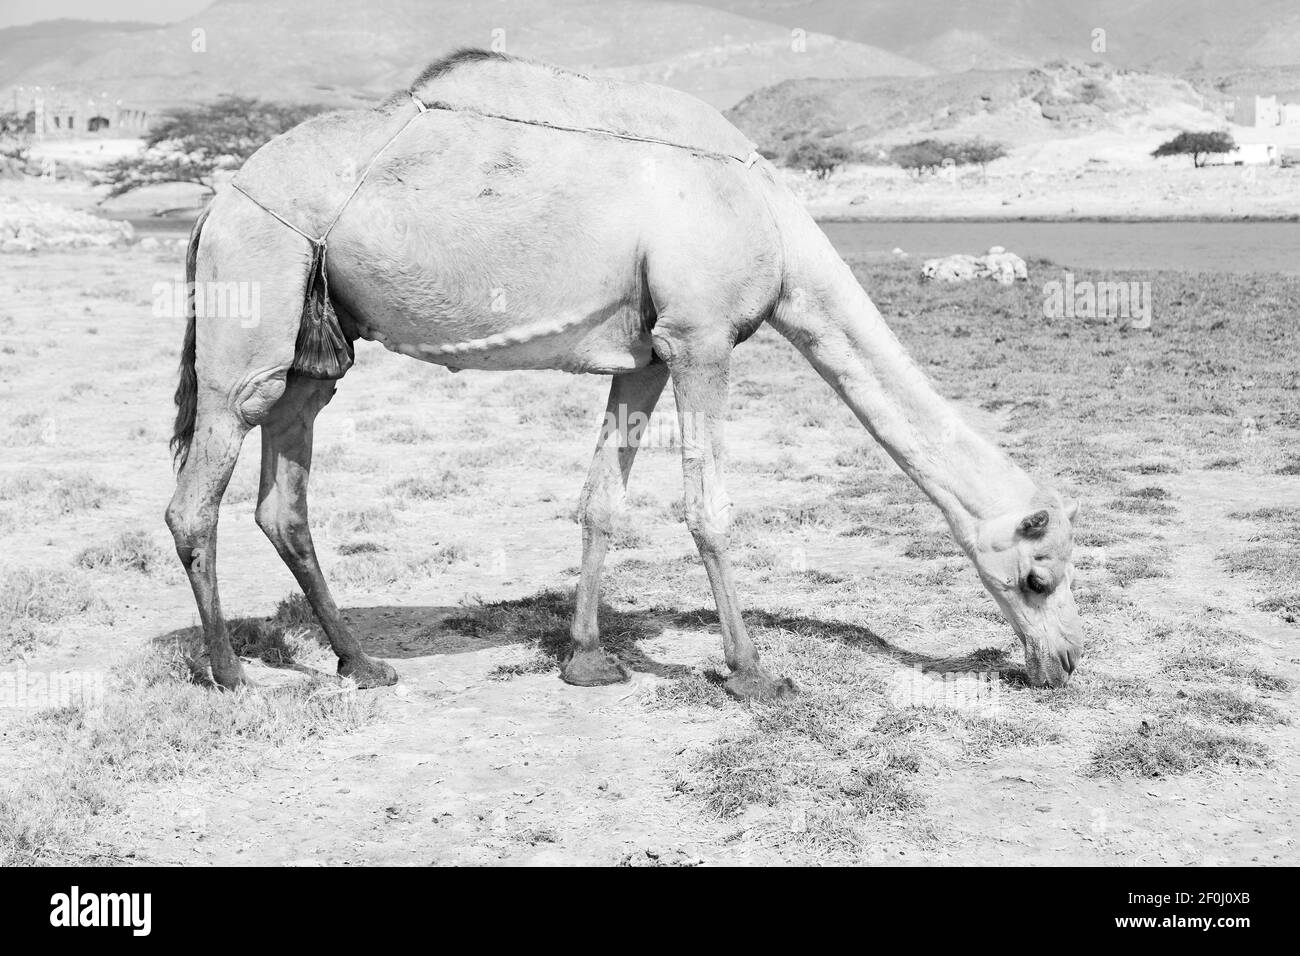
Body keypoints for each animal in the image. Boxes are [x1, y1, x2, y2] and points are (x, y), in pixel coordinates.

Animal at [167, 49, 1083, 698]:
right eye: (1039, 576)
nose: (1065, 662)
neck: (773, 222)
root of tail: (215, 202)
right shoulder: (702, 336)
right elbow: (709, 510)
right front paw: (754, 673)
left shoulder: (644, 356)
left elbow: (601, 501)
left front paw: (586, 659)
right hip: (255, 294)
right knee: (195, 497)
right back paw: (230, 672)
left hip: (315, 344)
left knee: (284, 501)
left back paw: (361, 664)